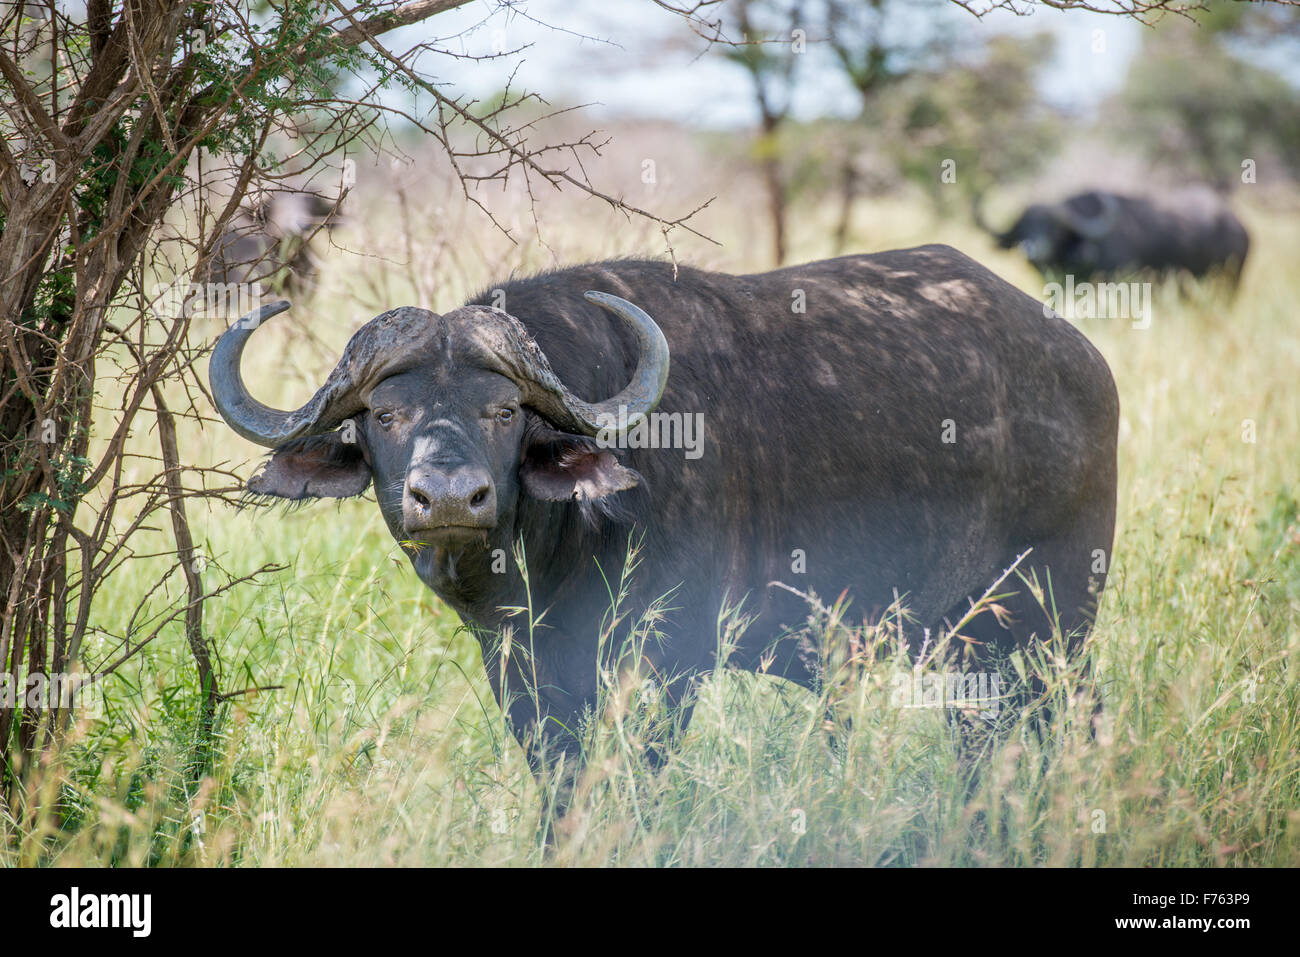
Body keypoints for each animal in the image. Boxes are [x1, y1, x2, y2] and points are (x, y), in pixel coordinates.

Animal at [210, 245, 1118, 815]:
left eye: (502, 411)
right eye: (386, 415)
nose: (451, 497)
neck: (558, 549)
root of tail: (1078, 360)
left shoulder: (663, 665)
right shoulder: (520, 670)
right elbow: (560, 783)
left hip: (1050, 623)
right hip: (969, 645)